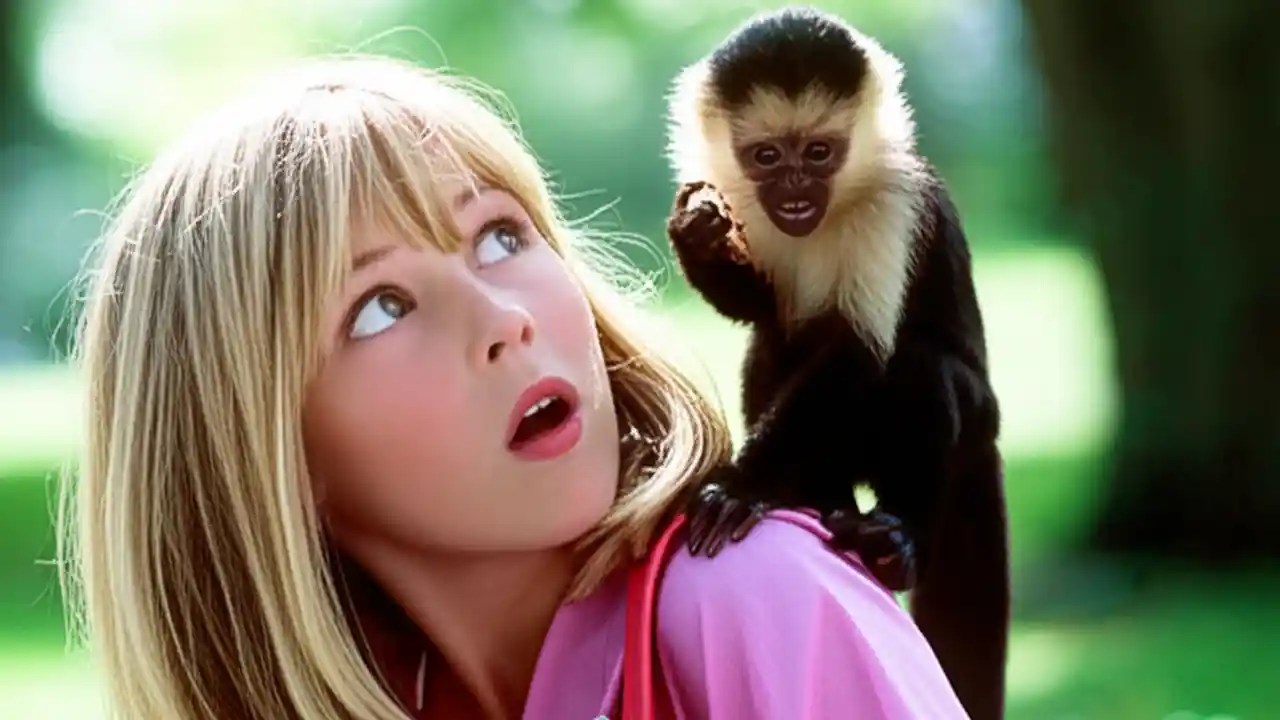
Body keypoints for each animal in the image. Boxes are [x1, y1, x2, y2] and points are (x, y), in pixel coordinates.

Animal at [661, 6, 1010, 719]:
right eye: (768, 156)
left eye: (819, 152)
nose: (796, 188)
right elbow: (758, 308)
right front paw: (697, 236)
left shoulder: (894, 204)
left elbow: (854, 350)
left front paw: (741, 486)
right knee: (771, 347)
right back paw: (814, 499)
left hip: (974, 427)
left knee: (919, 370)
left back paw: (897, 543)